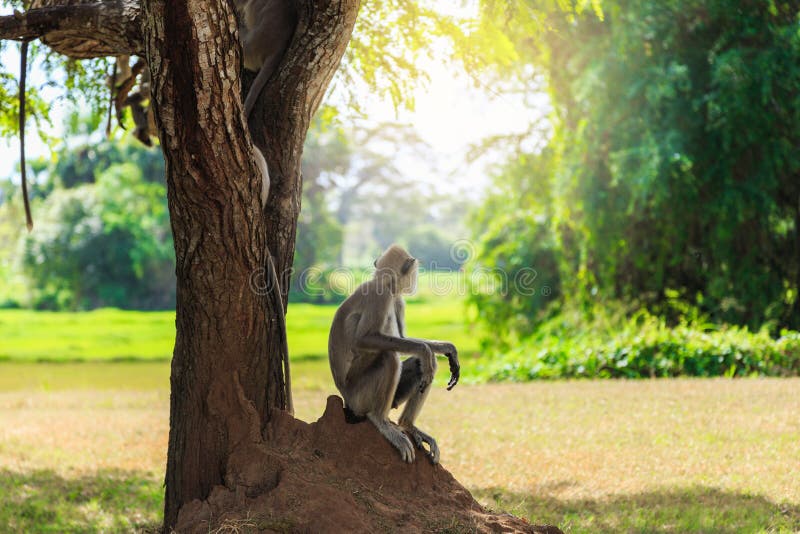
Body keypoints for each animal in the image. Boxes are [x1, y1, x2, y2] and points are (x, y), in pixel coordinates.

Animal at [328, 245, 460, 464]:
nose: (415, 281)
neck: (385, 285)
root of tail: (346, 399)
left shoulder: (397, 300)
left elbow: (404, 339)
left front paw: (446, 348)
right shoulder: (379, 296)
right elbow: (363, 339)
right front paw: (426, 351)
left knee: (420, 365)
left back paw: (407, 425)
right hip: (359, 396)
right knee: (389, 357)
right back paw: (380, 420)